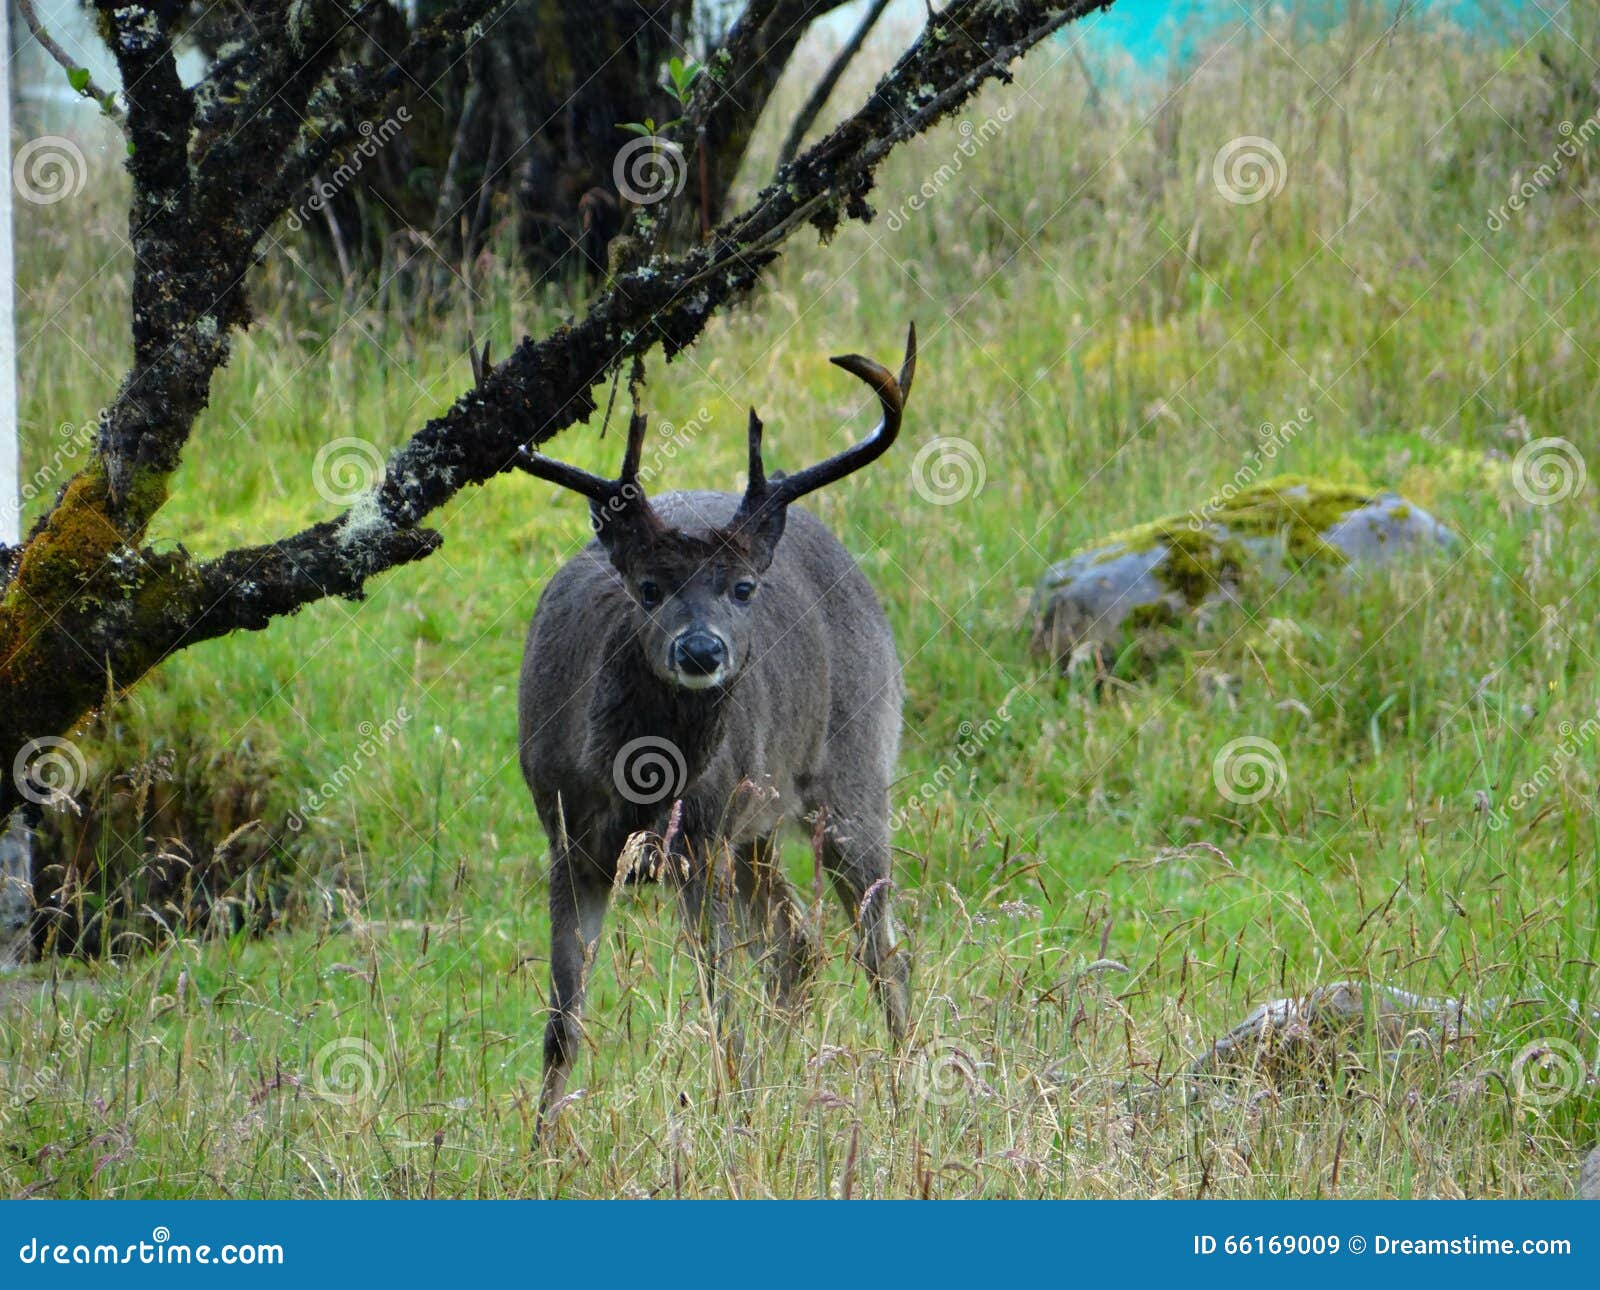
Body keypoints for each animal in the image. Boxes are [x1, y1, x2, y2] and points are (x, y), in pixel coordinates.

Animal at [515, 327, 916, 1133]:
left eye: (743, 588)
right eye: (647, 588)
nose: (701, 651)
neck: (634, 780)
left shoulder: (700, 840)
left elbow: (719, 1007)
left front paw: (730, 1115)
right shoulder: (567, 837)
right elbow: (562, 1024)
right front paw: (540, 1142)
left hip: (853, 775)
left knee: (880, 949)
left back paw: (904, 1087)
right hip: (756, 825)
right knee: (798, 948)